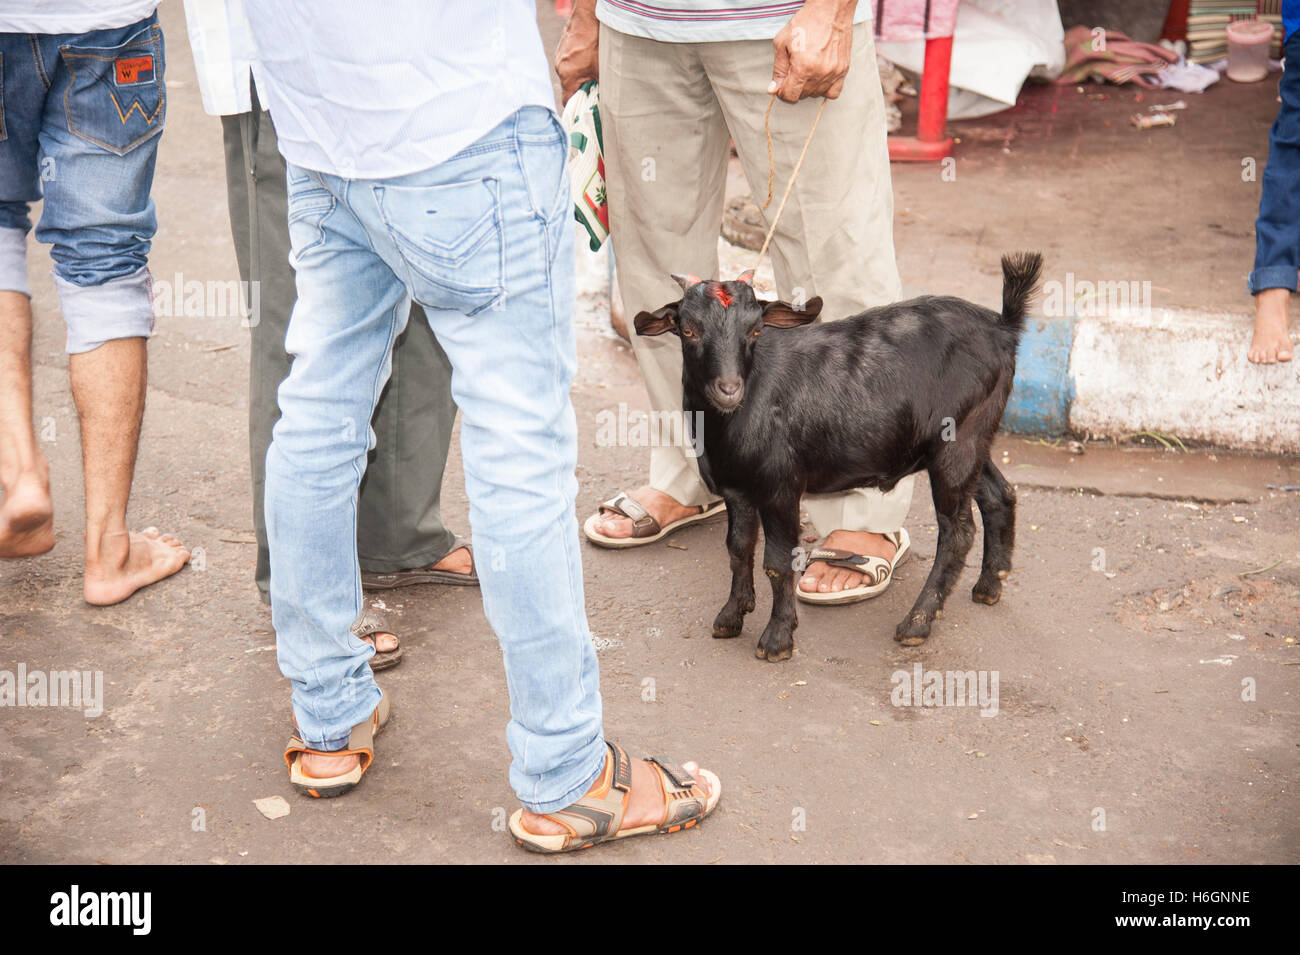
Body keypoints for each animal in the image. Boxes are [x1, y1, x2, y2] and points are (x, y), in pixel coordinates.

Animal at [633, 252, 1043, 661]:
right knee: (1000, 495)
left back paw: (917, 623)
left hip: (957, 445)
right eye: (688, 330)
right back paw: (990, 585)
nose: (729, 389)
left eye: (755, 330)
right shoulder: (736, 489)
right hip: (974, 438)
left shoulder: (781, 487)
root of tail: (1003, 327)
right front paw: (731, 616)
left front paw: (777, 638)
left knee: (958, 532)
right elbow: (738, 549)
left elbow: (778, 561)